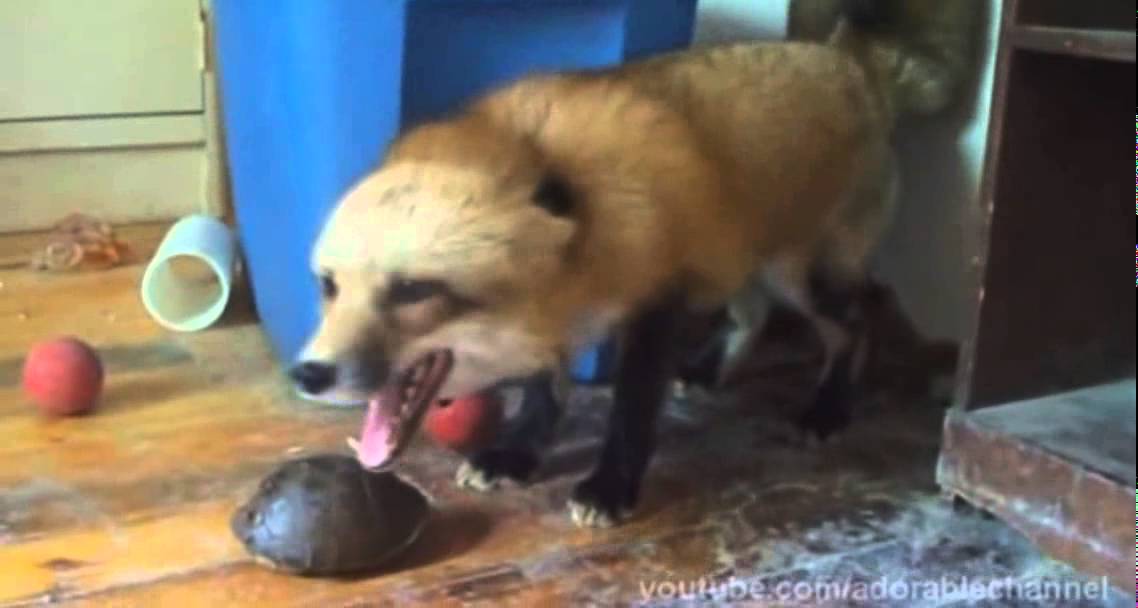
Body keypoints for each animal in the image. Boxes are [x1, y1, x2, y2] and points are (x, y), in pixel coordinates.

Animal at [289, 0, 980, 528]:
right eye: (329, 287)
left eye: (412, 291)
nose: (308, 374)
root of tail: (844, 60)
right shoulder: (571, 313)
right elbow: (544, 391)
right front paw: (517, 454)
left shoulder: (658, 299)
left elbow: (630, 413)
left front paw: (610, 487)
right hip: (740, 258)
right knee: (753, 313)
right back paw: (708, 372)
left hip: (801, 275)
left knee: (857, 320)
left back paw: (829, 408)